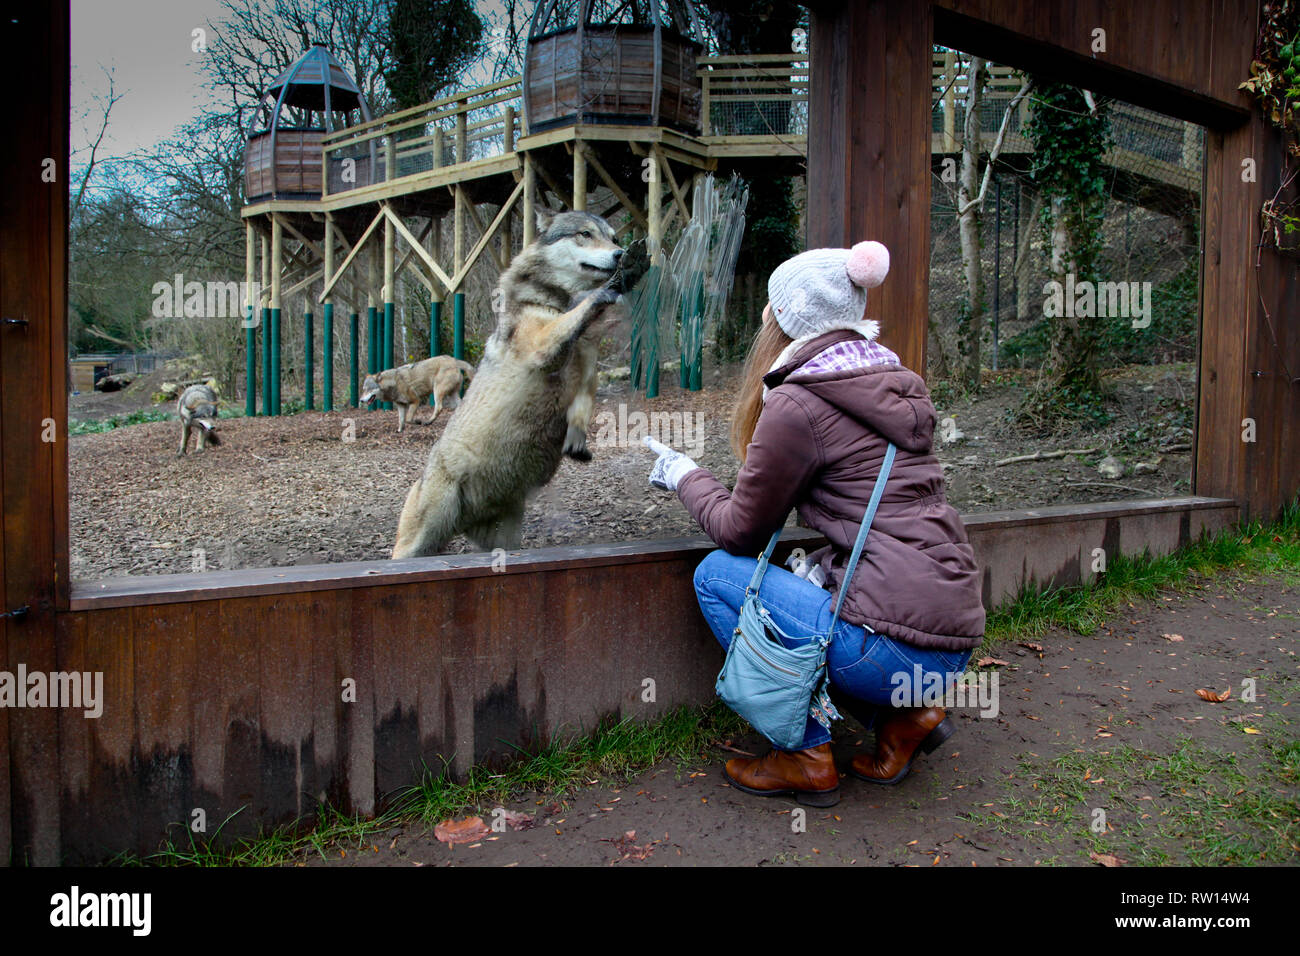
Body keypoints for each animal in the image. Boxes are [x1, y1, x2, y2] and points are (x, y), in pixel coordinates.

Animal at [391, 209, 648, 558]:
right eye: (584, 234)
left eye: (613, 238)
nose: (620, 254)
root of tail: (464, 522)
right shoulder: (543, 347)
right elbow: (585, 304)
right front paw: (616, 281)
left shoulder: (587, 375)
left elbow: (582, 406)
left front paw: (577, 439)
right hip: (415, 542)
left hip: (507, 538)